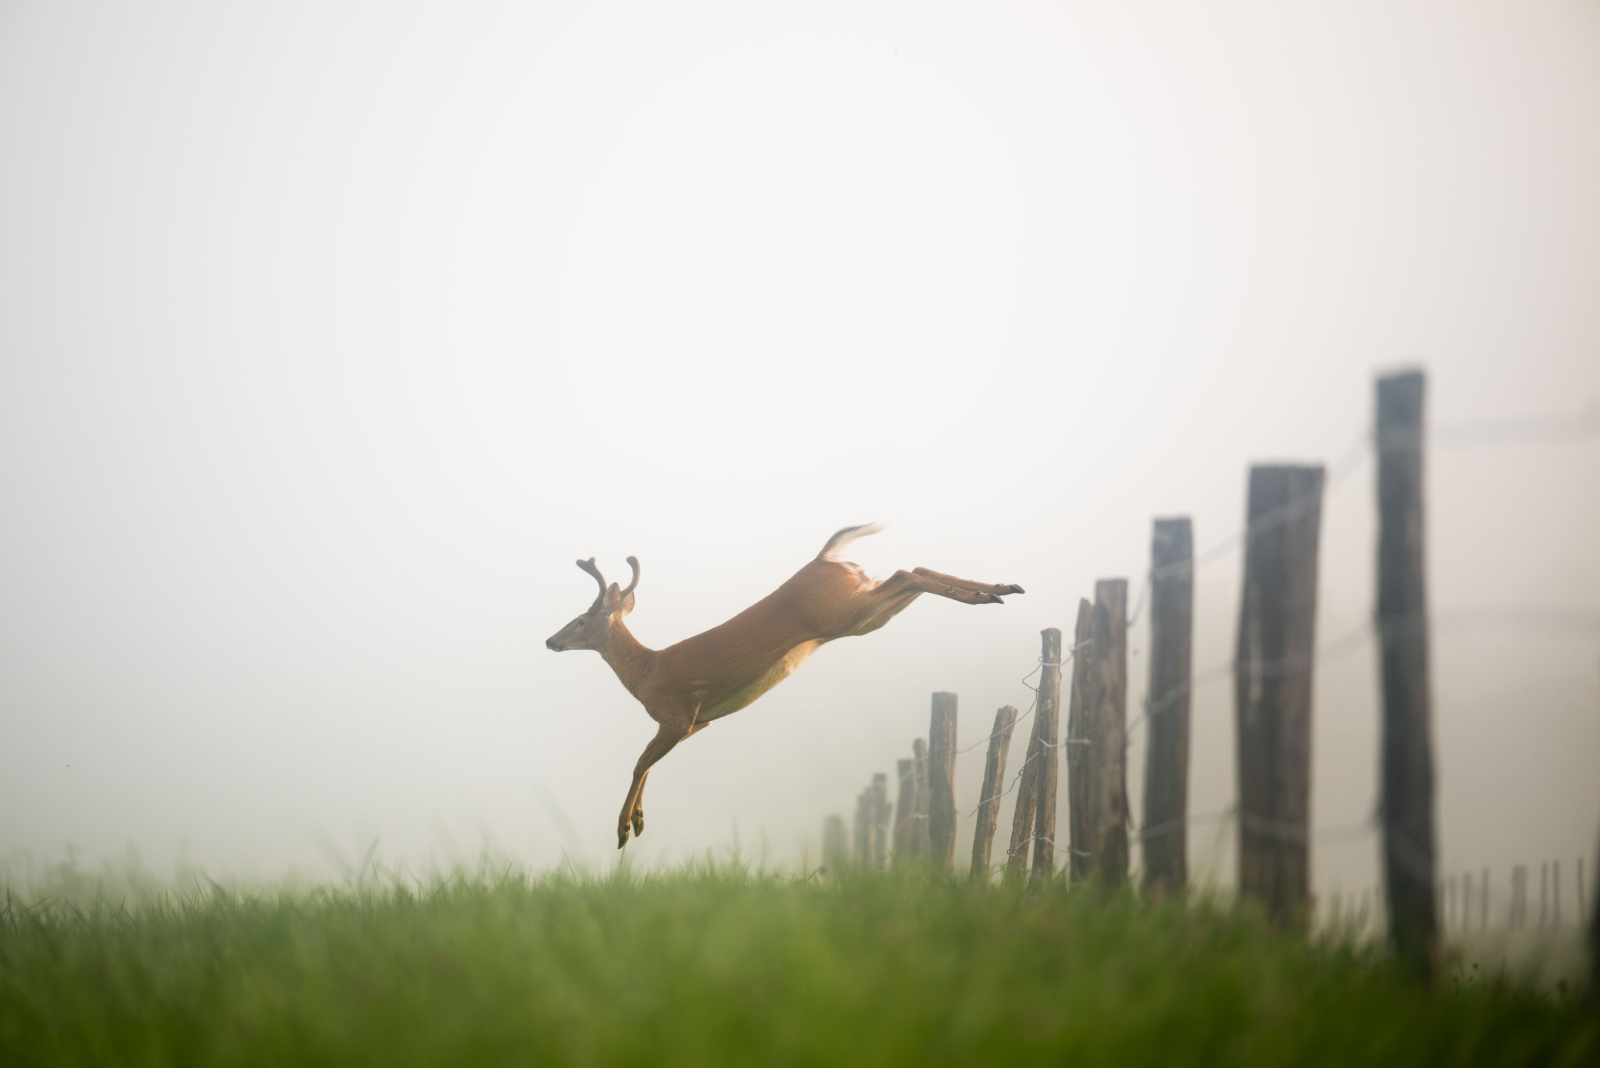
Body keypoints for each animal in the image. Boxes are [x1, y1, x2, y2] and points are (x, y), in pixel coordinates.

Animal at [544, 523, 1024, 848]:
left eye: (580, 620)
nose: (550, 641)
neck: (647, 671)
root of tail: (824, 558)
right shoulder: (698, 724)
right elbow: (646, 765)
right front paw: (640, 820)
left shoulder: (677, 716)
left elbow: (638, 763)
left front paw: (624, 829)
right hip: (864, 615)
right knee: (913, 568)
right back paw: (1001, 588)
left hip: (844, 614)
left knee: (908, 572)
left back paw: (989, 595)